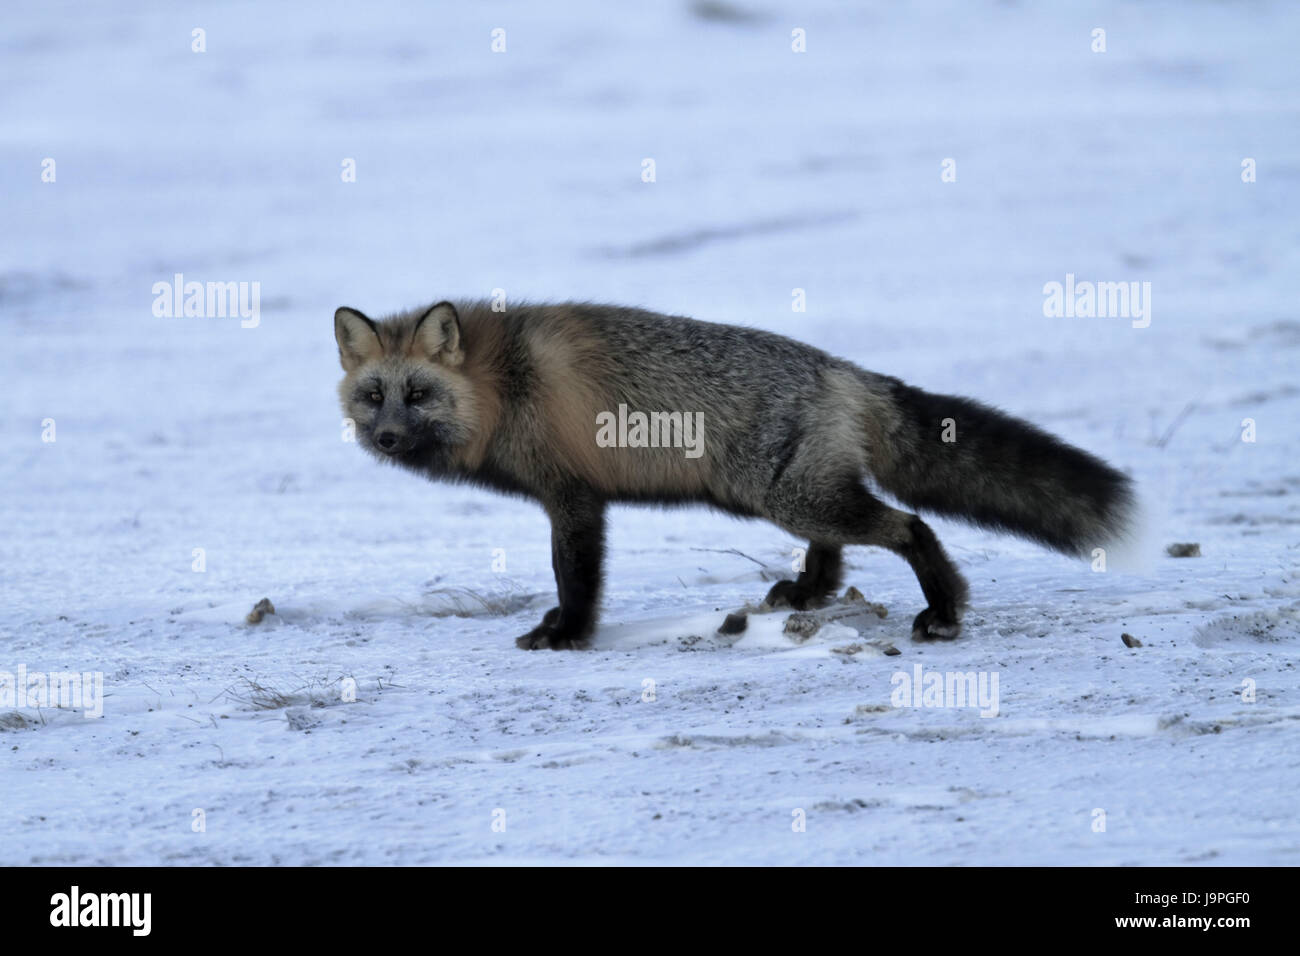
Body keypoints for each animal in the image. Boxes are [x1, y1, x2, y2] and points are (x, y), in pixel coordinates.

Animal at [335, 300, 1134, 649]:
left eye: (419, 395)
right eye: (374, 395)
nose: (386, 437)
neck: (505, 381)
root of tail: (844, 371)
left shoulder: (573, 498)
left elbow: (574, 577)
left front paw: (569, 634)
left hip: (794, 498)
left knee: (912, 527)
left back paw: (944, 611)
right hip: (795, 498)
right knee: (835, 554)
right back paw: (807, 594)